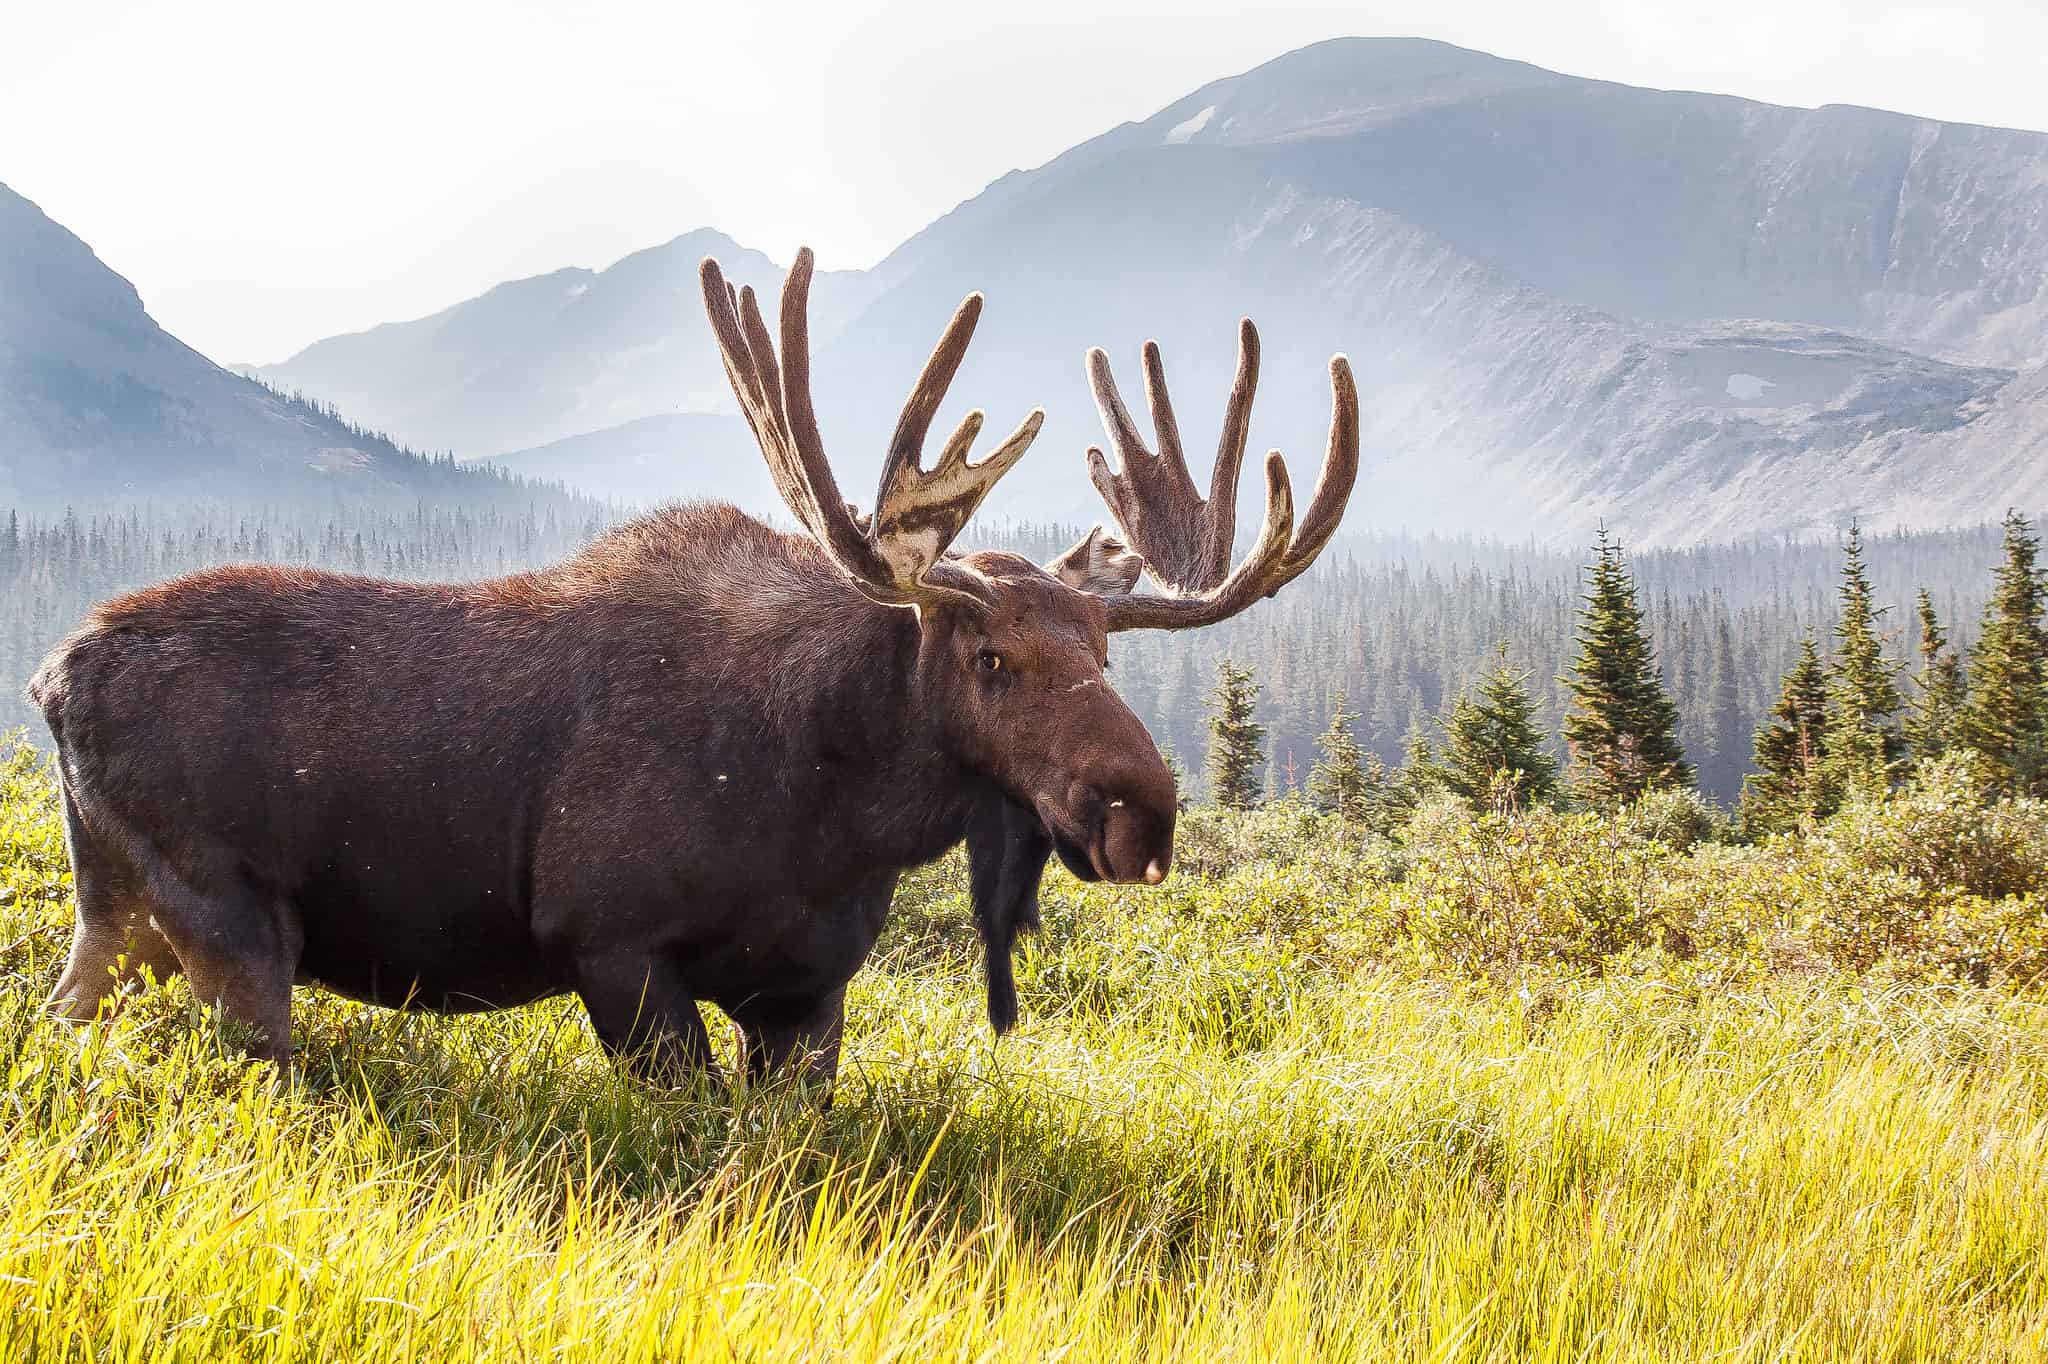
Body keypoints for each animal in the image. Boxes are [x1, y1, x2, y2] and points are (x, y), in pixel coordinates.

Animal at [30, 247, 1357, 1094]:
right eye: (990, 656)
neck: (837, 810)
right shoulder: (611, 945)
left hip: (119, 911)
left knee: (61, 1021)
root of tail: (52, 678)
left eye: (1101, 648)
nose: (1143, 811)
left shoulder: (807, 992)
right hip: (228, 915)